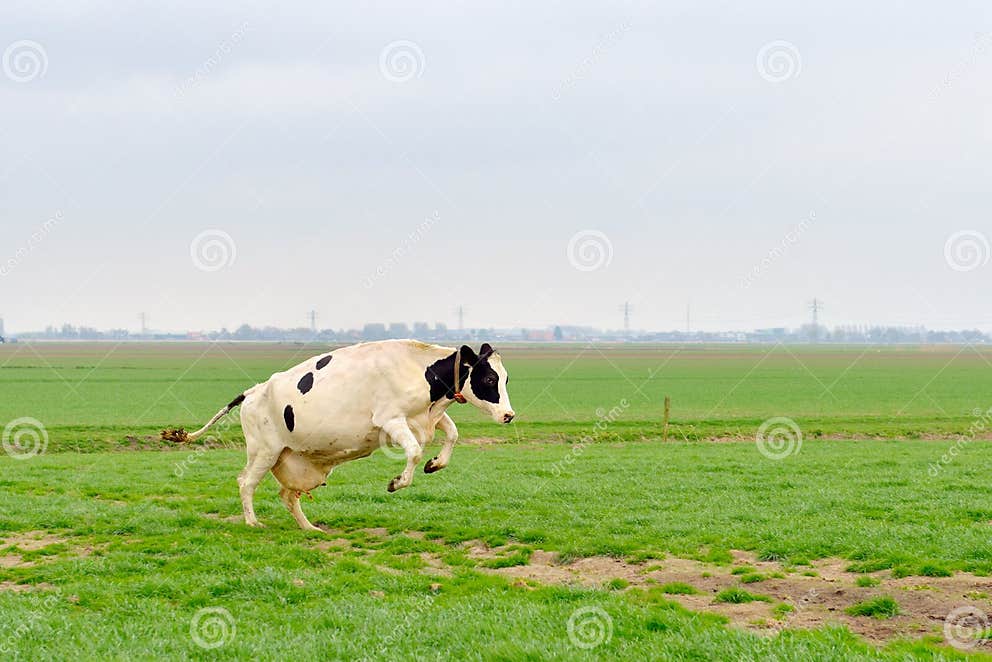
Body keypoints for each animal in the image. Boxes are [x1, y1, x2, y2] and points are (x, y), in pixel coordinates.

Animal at [162, 340, 514, 531]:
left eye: (505, 378)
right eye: (488, 378)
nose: (509, 415)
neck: (419, 369)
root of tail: (252, 391)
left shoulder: (426, 416)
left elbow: (452, 434)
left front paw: (435, 463)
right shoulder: (391, 419)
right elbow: (414, 451)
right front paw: (397, 482)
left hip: (293, 459)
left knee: (287, 495)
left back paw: (308, 528)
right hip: (264, 451)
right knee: (245, 482)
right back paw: (252, 522)